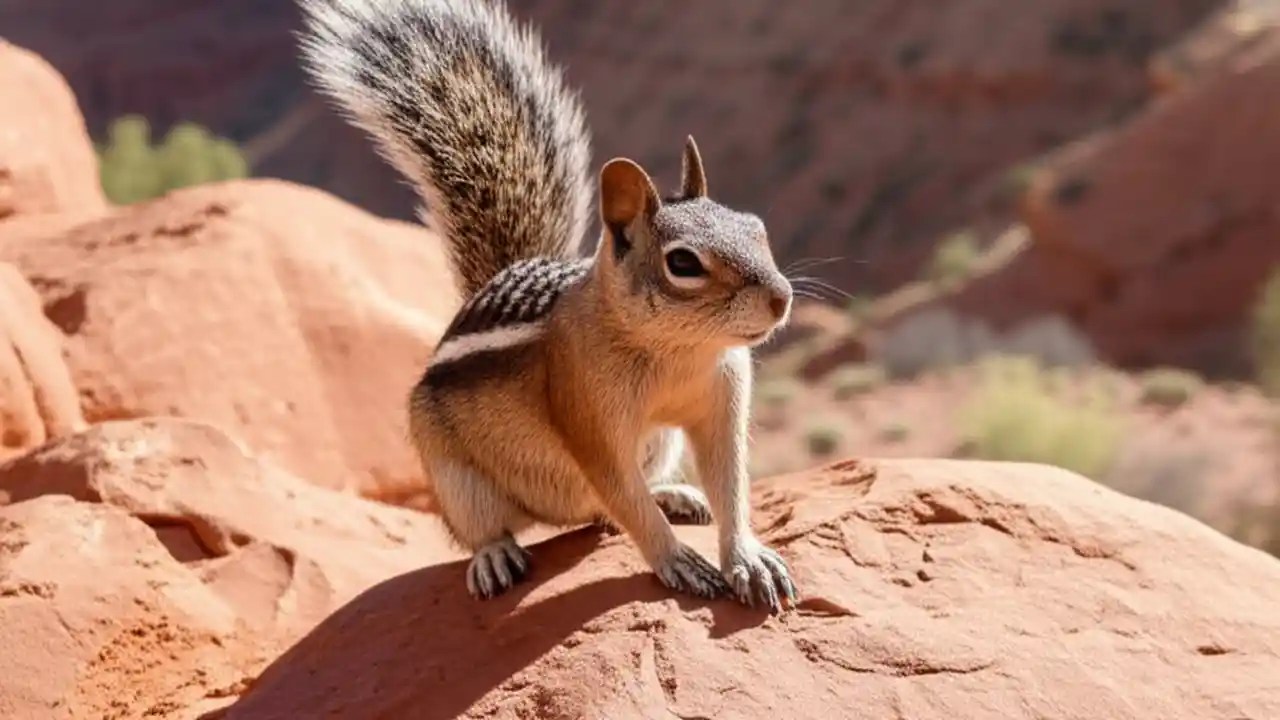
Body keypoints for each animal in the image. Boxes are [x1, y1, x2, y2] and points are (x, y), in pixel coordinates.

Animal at [298, 0, 798, 612]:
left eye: (757, 227)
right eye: (683, 263)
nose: (781, 299)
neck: (680, 353)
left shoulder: (724, 401)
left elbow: (730, 484)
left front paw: (748, 558)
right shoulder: (587, 416)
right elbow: (626, 500)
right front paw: (677, 561)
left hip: (660, 444)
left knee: (607, 507)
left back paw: (673, 493)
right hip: (453, 476)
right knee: (487, 528)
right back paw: (494, 556)